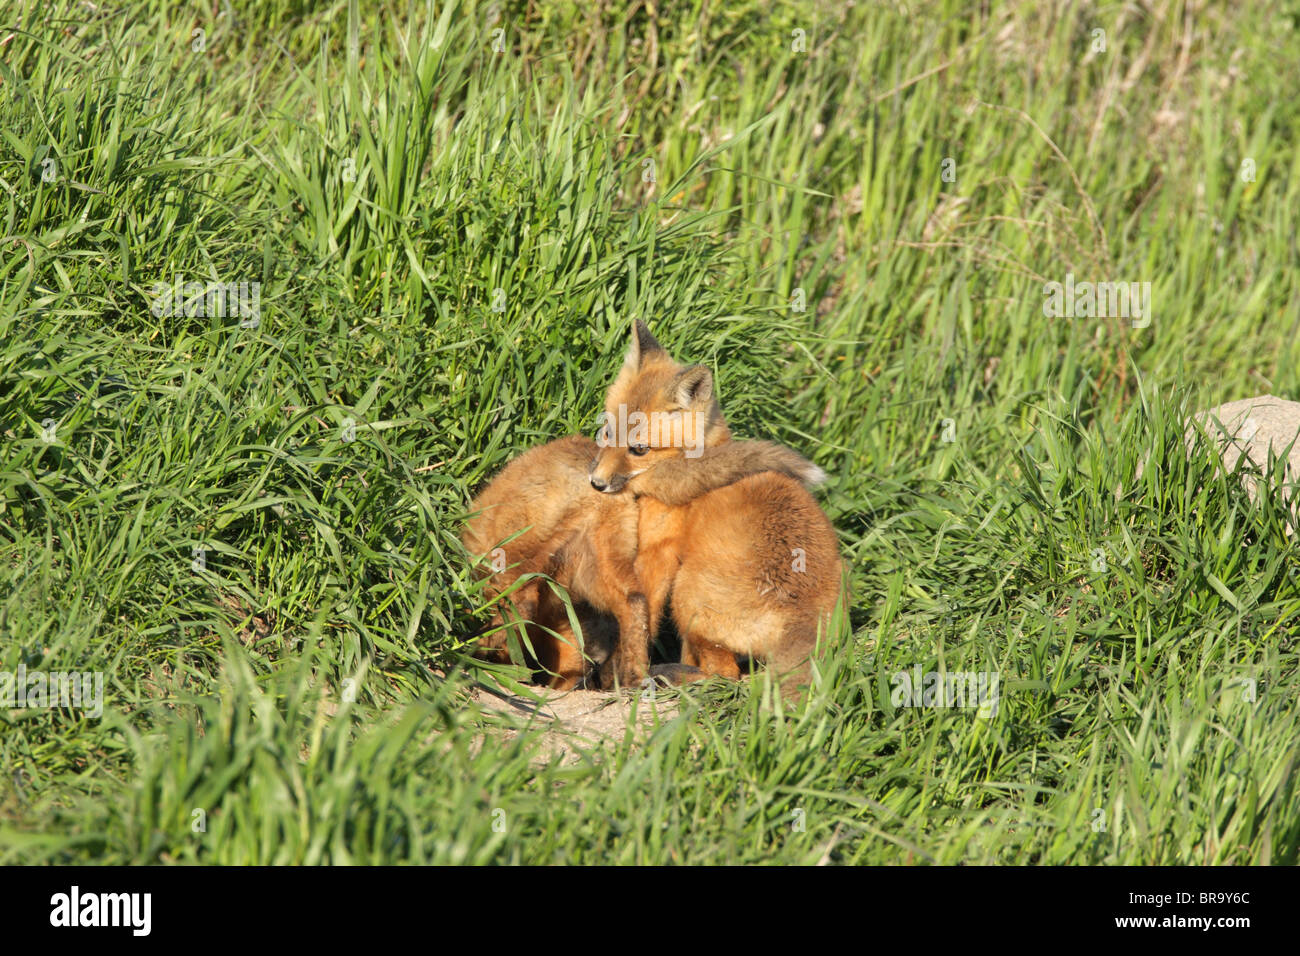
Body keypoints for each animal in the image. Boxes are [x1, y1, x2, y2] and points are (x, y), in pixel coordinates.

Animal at [589, 320, 846, 698]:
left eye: (639, 449)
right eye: (607, 431)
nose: (596, 482)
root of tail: (802, 615)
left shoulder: (659, 554)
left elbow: (643, 615)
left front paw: (622, 671)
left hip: (687, 594)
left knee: (725, 675)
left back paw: (671, 677)